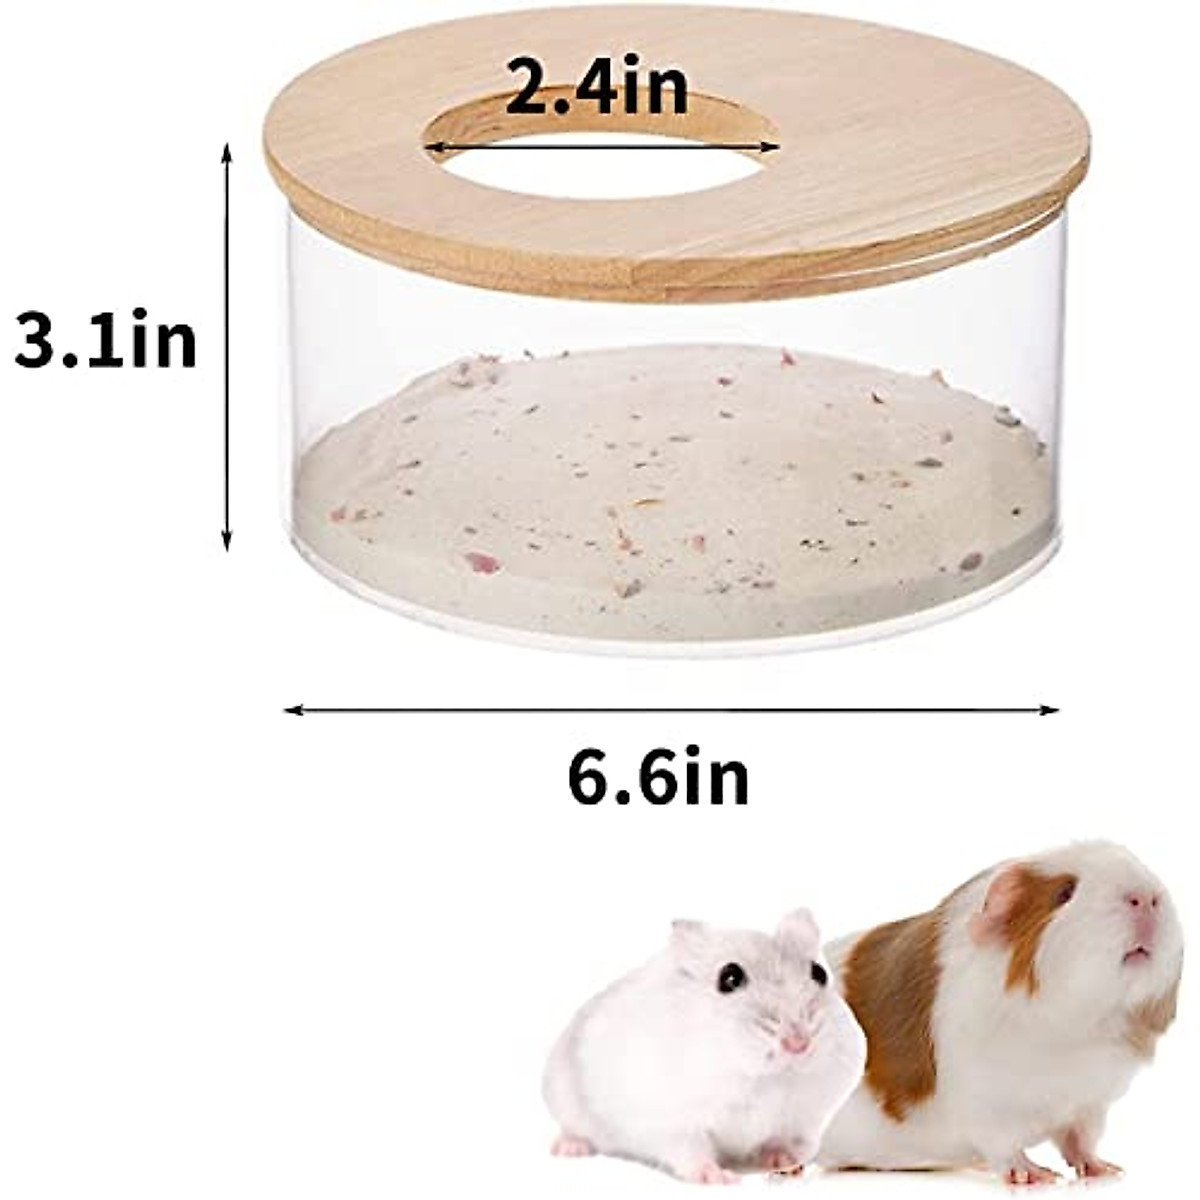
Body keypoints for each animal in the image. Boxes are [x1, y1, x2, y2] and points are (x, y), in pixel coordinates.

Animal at [543, 909, 867, 1184]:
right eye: (729, 977)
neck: (760, 1077)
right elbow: (692, 1152)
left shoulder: (799, 1119)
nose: (799, 1044)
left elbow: (779, 1141)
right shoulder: (675, 1123)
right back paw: (569, 1148)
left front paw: (784, 1161)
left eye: (819, 973)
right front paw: (719, 1178)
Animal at [817, 842, 1183, 1186]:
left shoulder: (1089, 1105)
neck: (1076, 1030)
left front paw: (1106, 1171)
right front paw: (1035, 1177)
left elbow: (1080, 1142)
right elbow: (1005, 1148)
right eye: (1065, 893)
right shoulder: (987, 1107)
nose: (1147, 897)